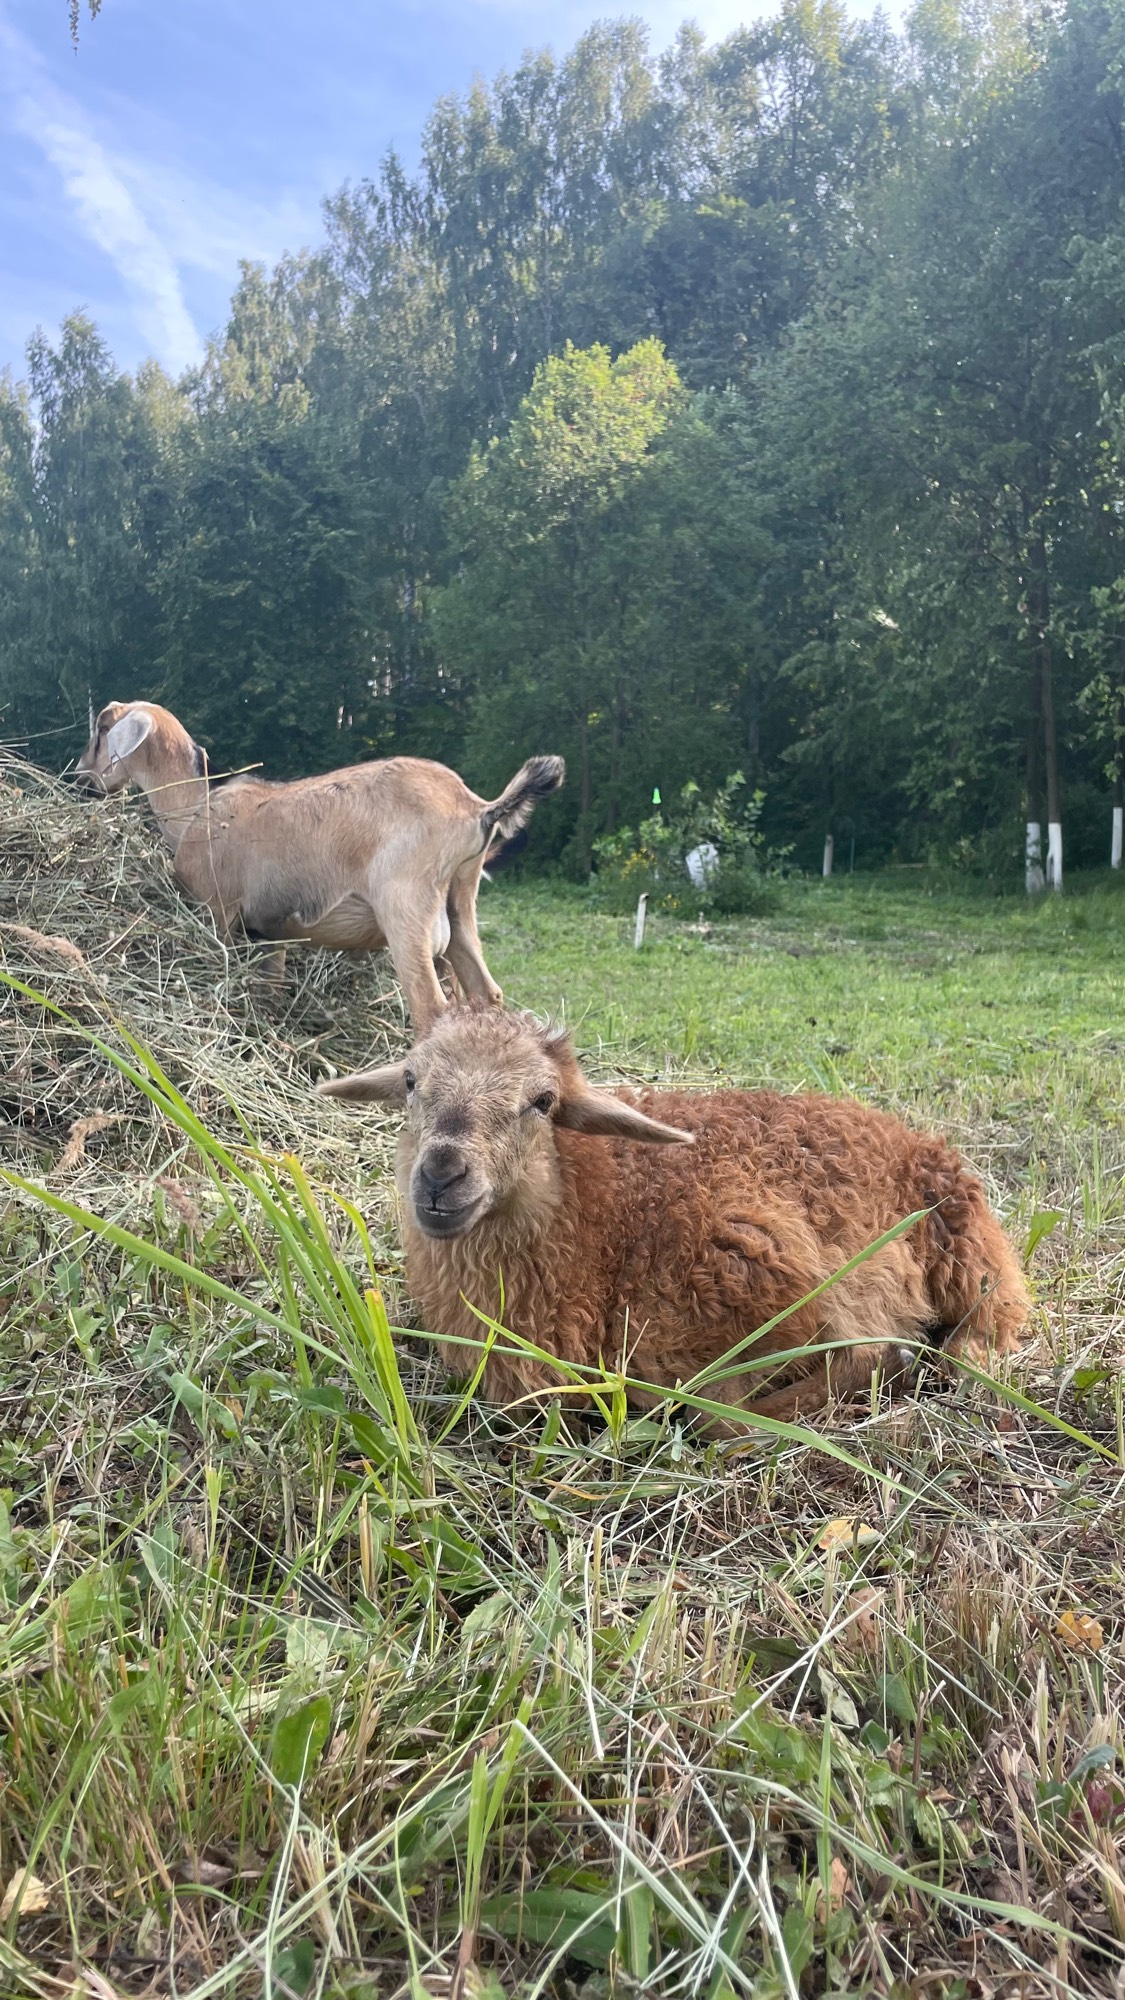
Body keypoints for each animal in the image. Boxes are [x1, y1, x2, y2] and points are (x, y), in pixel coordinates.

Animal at [75, 700, 560, 1024]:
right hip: (460, 904)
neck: (195, 811)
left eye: (100, 730)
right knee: (488, 994)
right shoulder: (268, 935)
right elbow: (269, 992)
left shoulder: (218, 912)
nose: (82, 781)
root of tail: (476, 808)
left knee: (431, 1007)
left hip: (406, 909)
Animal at [320, 1000, 1032, 1424]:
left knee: (959, 1343)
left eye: (543, 1101)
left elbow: (742, 1400)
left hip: (970, 1267)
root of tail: (914, 1139)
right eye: (411, 1081)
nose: (441, 1175)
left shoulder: (777, 1267)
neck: (608, 1224)